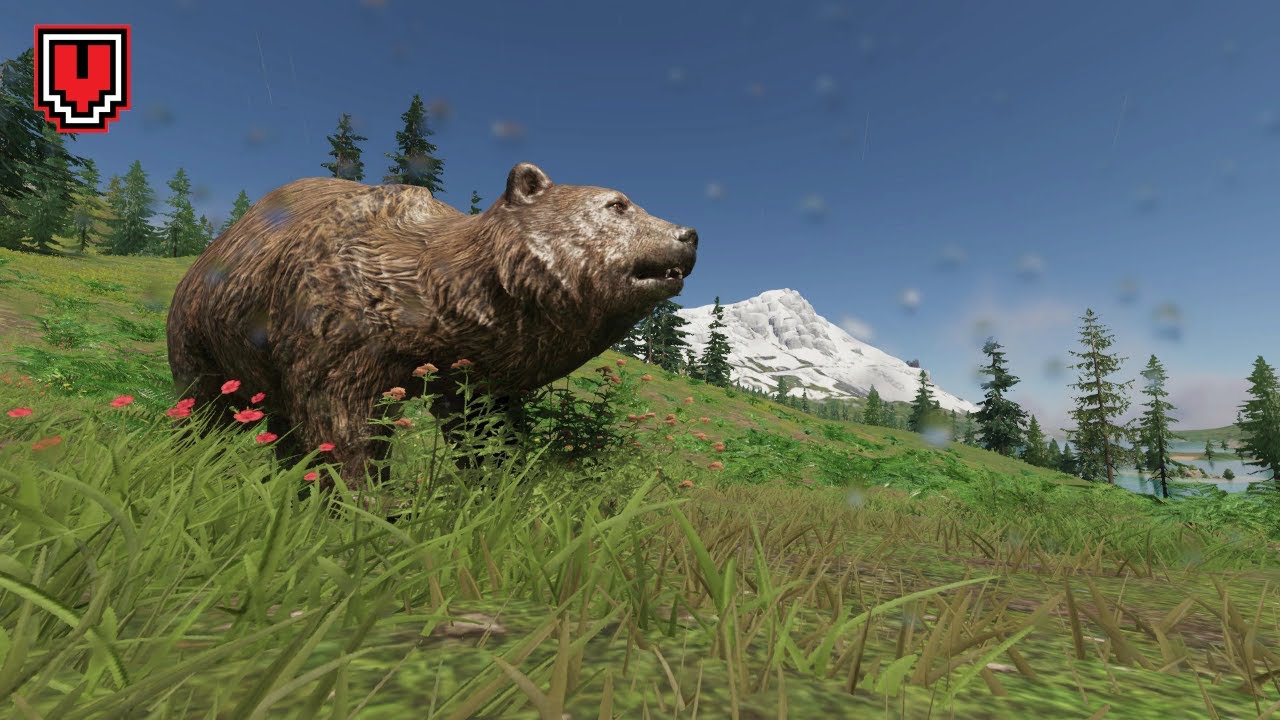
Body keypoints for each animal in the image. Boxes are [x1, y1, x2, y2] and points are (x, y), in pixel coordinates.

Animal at [166, 162, 698, 491]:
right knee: (203, 405)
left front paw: (496, 487)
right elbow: (341, 425)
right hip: (203, 330)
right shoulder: (334, 326)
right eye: (617, 204)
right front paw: (366, 503)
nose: (688, 234)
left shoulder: (470, 370)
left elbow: (484, 428)